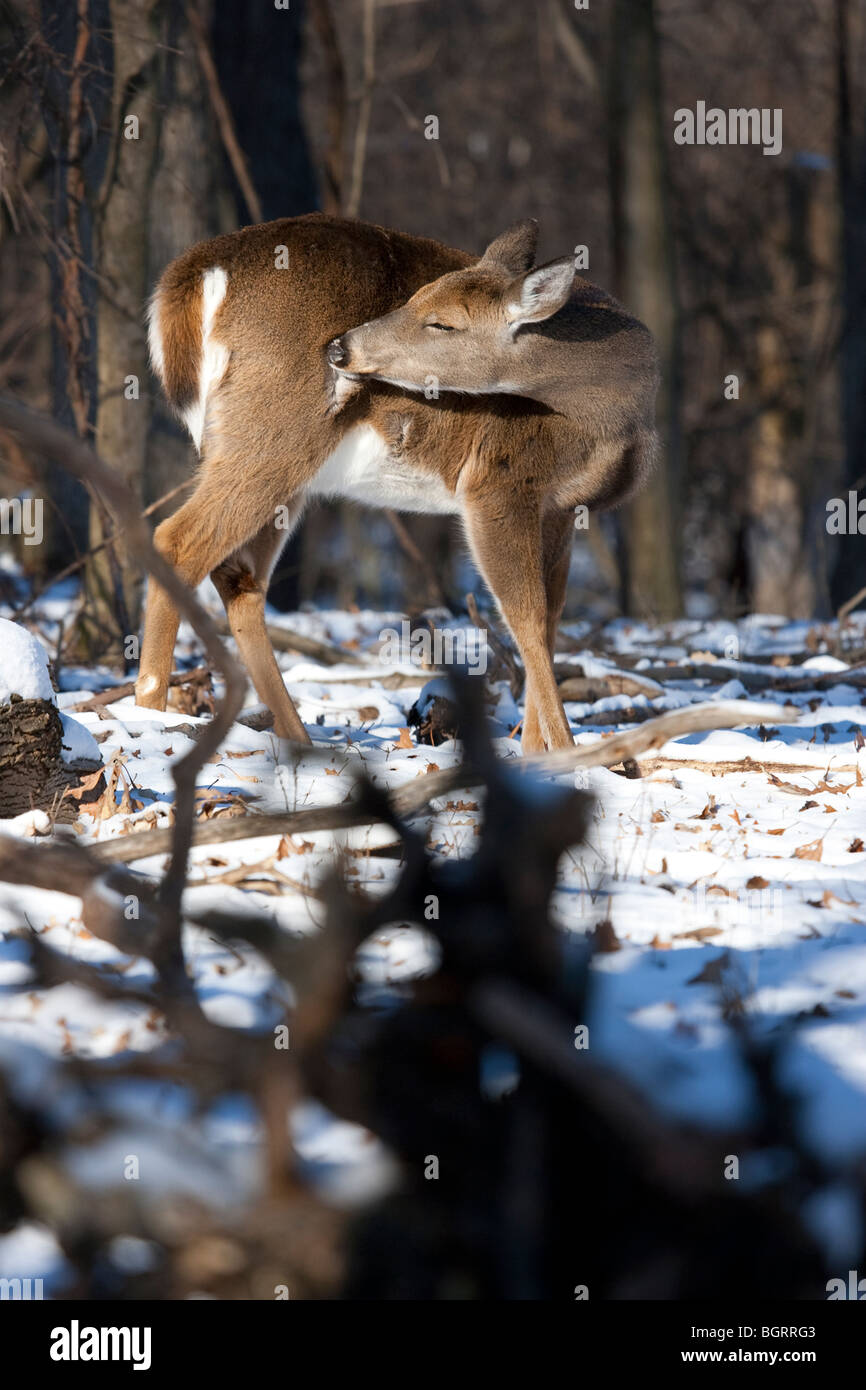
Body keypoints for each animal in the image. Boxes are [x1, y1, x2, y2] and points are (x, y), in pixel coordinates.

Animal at [137, 213, 659, 753]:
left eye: (443, 321)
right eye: (416, 298)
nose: (340, 347)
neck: (613, 418)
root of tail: (196, 271)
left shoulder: (561, 506)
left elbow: (552, 619)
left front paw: (536, 749)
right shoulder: (497, 480)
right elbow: (527, 620)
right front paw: (569, 754)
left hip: (276, 465)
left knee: (238, 577)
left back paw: (297, 738)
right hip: (272, 432)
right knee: (177, 541)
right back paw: (148, 718)